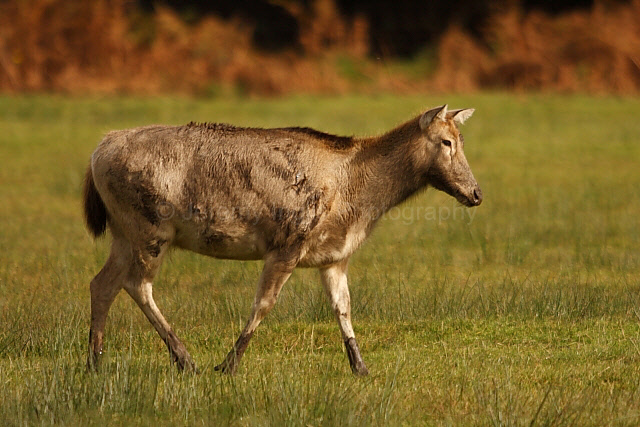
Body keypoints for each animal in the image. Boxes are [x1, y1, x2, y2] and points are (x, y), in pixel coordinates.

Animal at [83, 104, 482, 376]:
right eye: (446, 141)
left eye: (462, 140)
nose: (476, 193)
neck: (357, 204)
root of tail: (98, 150)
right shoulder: (287, 244)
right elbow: (263, 304)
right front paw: (228, 364)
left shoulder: (335, 257)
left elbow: (343, 307)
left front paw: (361, 366)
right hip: (149, 227)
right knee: (137, 284)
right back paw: (185, 360)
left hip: (123, 232)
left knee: (102, 283)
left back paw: (95, 361)